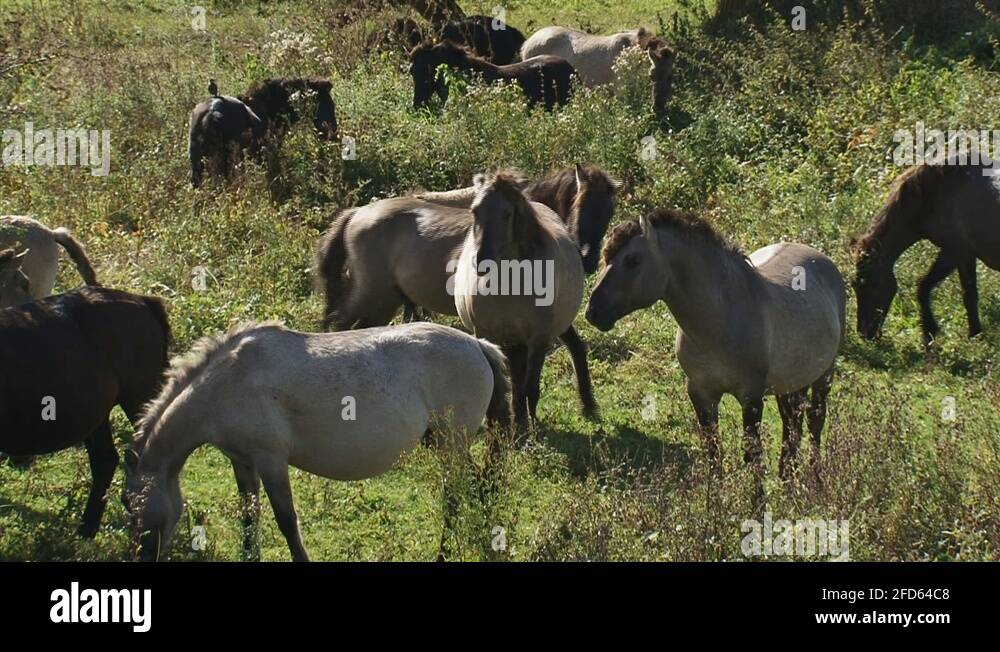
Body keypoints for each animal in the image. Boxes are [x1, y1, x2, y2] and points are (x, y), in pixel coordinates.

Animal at [124, 321, 511, 562]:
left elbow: (286, 520)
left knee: (455, 496)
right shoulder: (243, 461)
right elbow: (249, 518)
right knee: (477, 486)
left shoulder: (270, 460)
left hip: (451, 443)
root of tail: (478, 345)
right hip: (445, 443)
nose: (140, 557)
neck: (228, 382)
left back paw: (445, 553)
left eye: (132, 505)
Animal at [453, 172, 594, 428]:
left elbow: (531, 387)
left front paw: (531, 425)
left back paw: (588, 405)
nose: (482, 260)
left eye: (507, 214)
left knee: (575, 348)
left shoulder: (539, 339)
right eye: (474, 210)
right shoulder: (487, 335)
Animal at [586, 209, 845, 482]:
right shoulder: (701, 393)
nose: (593, 311)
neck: (718, 322)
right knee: (791, 425)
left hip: (823, 376)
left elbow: (753, 455)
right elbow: (713, 451)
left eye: (632, 260)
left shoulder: (751, 397)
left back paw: (815, 478)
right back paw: (787, 477)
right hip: (791, 383)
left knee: (815, 421)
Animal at [852, 161, 1000, 347]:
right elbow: (969, 295)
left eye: (870, 284)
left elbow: (924, 287)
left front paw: (929, 332)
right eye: (854, 285)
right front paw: (974, 334)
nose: (864, 333)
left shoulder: (954, 251)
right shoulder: (964, 254)